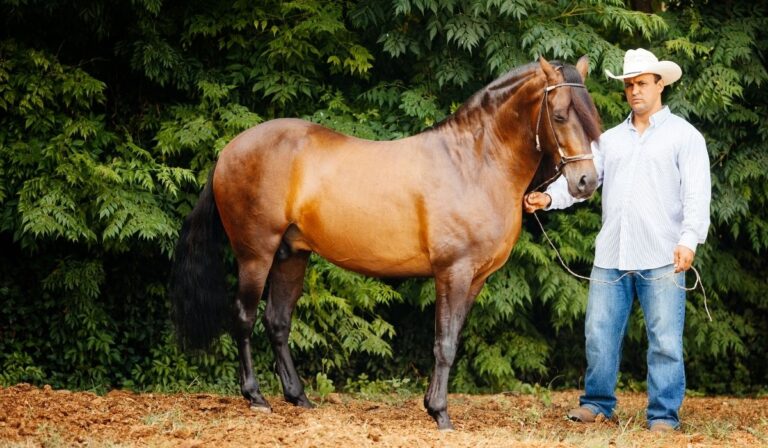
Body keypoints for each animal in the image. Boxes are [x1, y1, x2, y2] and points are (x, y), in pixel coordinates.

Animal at [169, 56, 601, 430]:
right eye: (559, 115)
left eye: (592, 115)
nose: (586, 183)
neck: (474, 162)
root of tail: (229, 150)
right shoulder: (453, 272)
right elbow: (444, 343)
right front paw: (440, 414)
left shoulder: (475, 278)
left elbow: (452, 339)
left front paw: (432, 406)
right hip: (256, 255)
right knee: (244, 318)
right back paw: (257, 398)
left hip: (292, 254)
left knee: (277, 322)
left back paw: (298, 397)